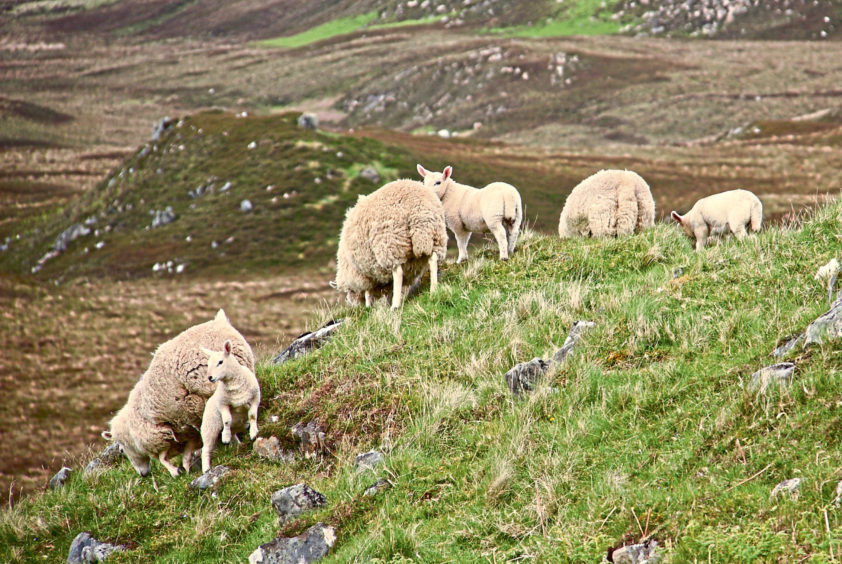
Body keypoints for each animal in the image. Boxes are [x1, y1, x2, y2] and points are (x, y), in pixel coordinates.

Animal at [102, 309, 254, 477]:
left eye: (122, 449)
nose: (143, 474)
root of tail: (220, 324)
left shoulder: (161, 433)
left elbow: (162, 458)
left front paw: (176, 471)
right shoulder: (185, 426)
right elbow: (188, 447)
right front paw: (186, 466)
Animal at [200, 340, 261, 474]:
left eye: (220, 362)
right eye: (208, 364)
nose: (210, 377)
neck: (234, 383)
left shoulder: (255, 397)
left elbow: (252, 415)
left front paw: (254, 433)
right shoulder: (222, 403)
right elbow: (227, 420)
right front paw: (225, 438)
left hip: (241, 424)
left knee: (234, 432)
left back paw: (238, 445)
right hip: (210, 427)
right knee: (205, 449)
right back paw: (206, 469)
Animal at [333, 178, 448, 309]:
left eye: (349, 291)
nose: (353, 305)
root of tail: (419, 208)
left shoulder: (364, 275)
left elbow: (368, 292)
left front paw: (369, 307)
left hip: (391, 244)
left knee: (398, 272)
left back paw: (395, 305)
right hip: (436, 236)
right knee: (433, 259)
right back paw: (433, 291)